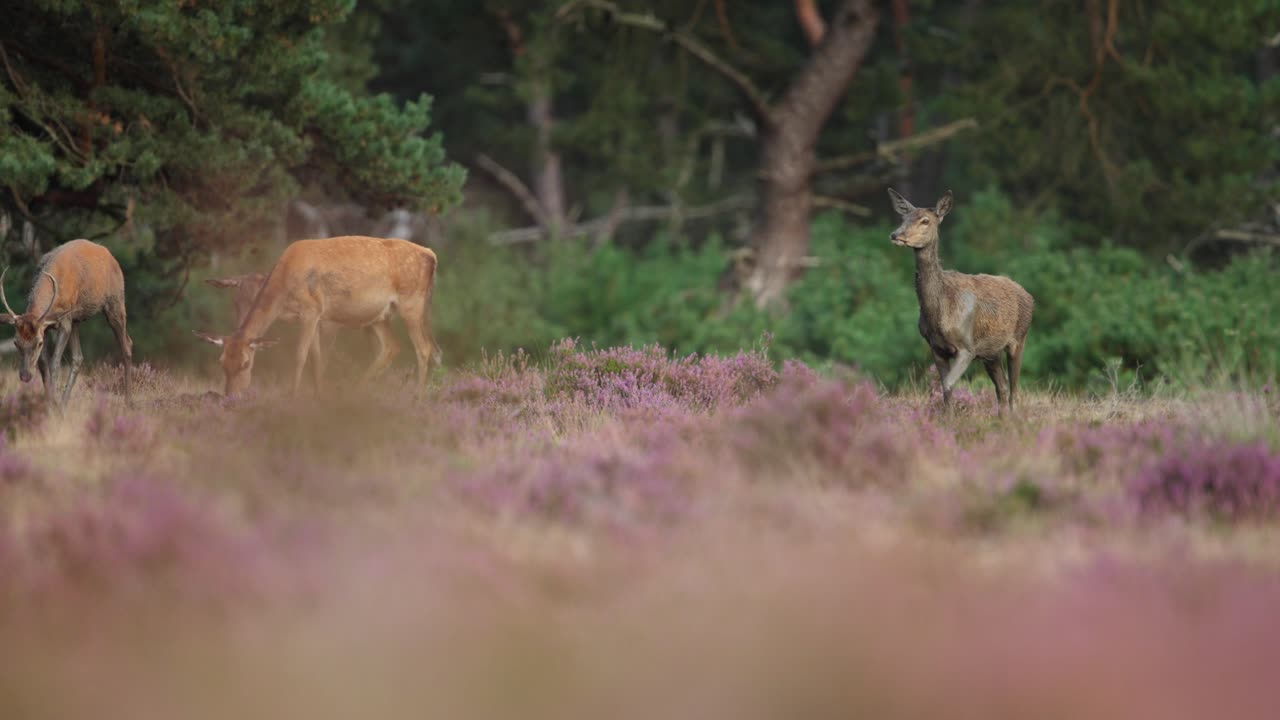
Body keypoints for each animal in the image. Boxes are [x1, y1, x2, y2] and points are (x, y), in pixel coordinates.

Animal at [0, 239, 134, 406]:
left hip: (115, 301)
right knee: (78, 357)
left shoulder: (64, 322)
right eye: (15, 342)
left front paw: (52, 403)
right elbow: (43, 364)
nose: (25, 376)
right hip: (76, 319)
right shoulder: (49, 326)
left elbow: (54, 362)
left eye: (38, 343)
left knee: (126, 345)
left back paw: (128, 400)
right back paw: (64, 403)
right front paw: (49, 402)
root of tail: (112, 258)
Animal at [195, 235, 440, 397]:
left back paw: (418, 399)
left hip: (412, 303)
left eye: (246, 364)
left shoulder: (311, 310)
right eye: (222, 362)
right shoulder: (316, 317)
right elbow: (317, 357)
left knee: (424, 348)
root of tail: (431, 255)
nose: (230, 396)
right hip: (380, 315)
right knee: (393, 346)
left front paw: (293, 396)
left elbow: (300, 355)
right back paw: (356, 391)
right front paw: (318, 396)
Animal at [888, 188, 1034, 417]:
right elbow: (946, 388)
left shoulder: (967, 346)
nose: (896, 235)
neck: (939, 311)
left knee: (1014, 391)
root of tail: (1029, 296)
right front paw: (948, 418)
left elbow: (947, 383)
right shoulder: (936, 347)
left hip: (1019, 338)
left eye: (925, 220)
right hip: (991, 353)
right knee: (1001, 388)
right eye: (904, 218)